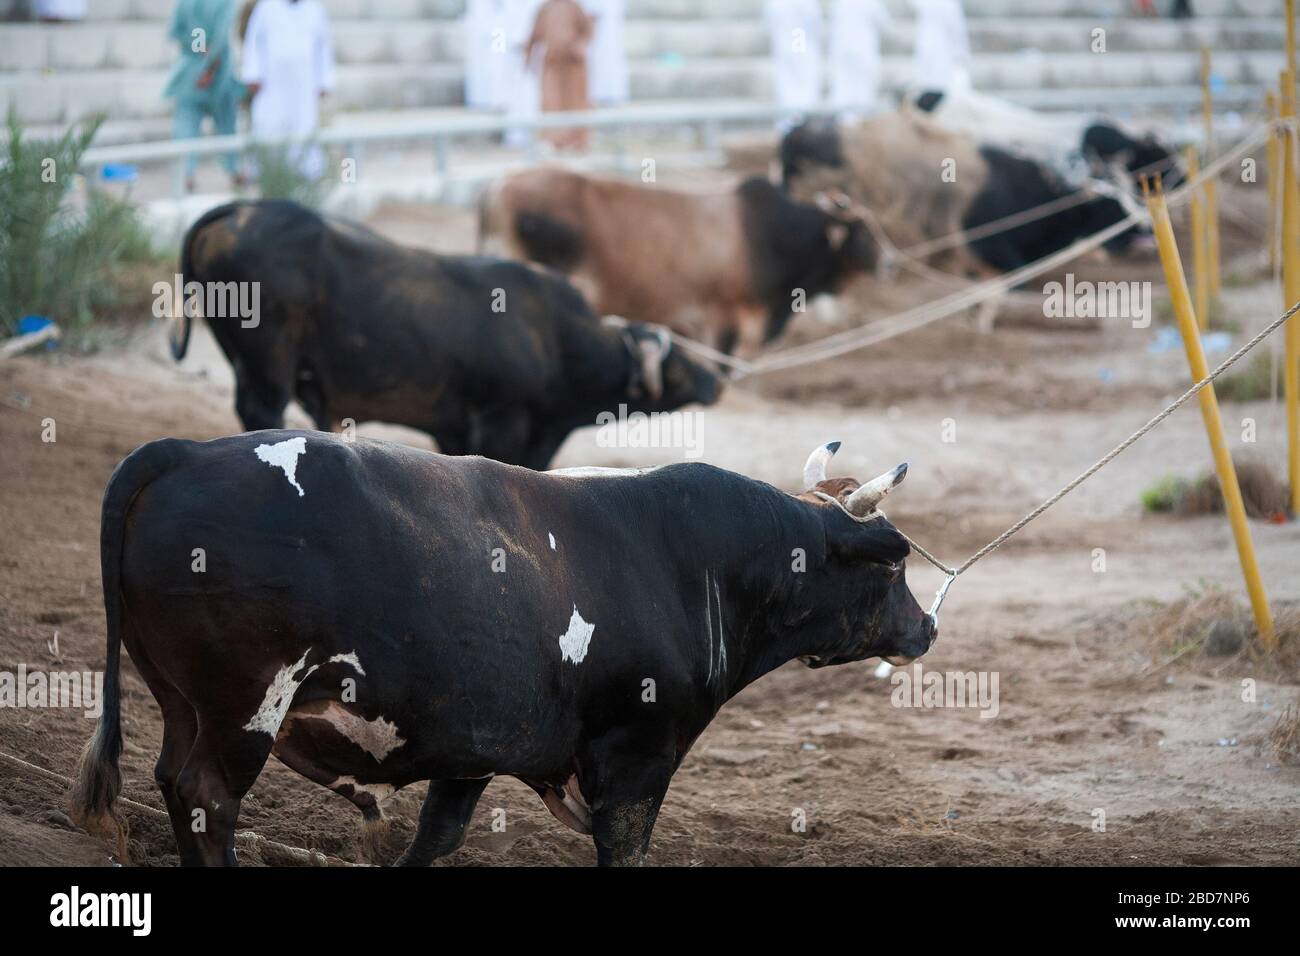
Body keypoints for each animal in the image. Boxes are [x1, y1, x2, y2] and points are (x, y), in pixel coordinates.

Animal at [72, 435, 935, 866]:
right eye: (894, 568)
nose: (925, 627)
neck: (695, 560)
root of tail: (185, 451)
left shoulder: (477, 745)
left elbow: (437, 836)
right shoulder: (638, 751)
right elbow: (625, 847)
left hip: (184, 703)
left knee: (172, 782)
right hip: (246, 706)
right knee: (210, 797)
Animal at [172, 200, 721, 470]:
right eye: (675, 362)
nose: (715, 379)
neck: (555, 338)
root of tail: (237, 211)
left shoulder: (453, 428)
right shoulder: (502, 420)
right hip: (268, 364)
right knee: (263, 410)